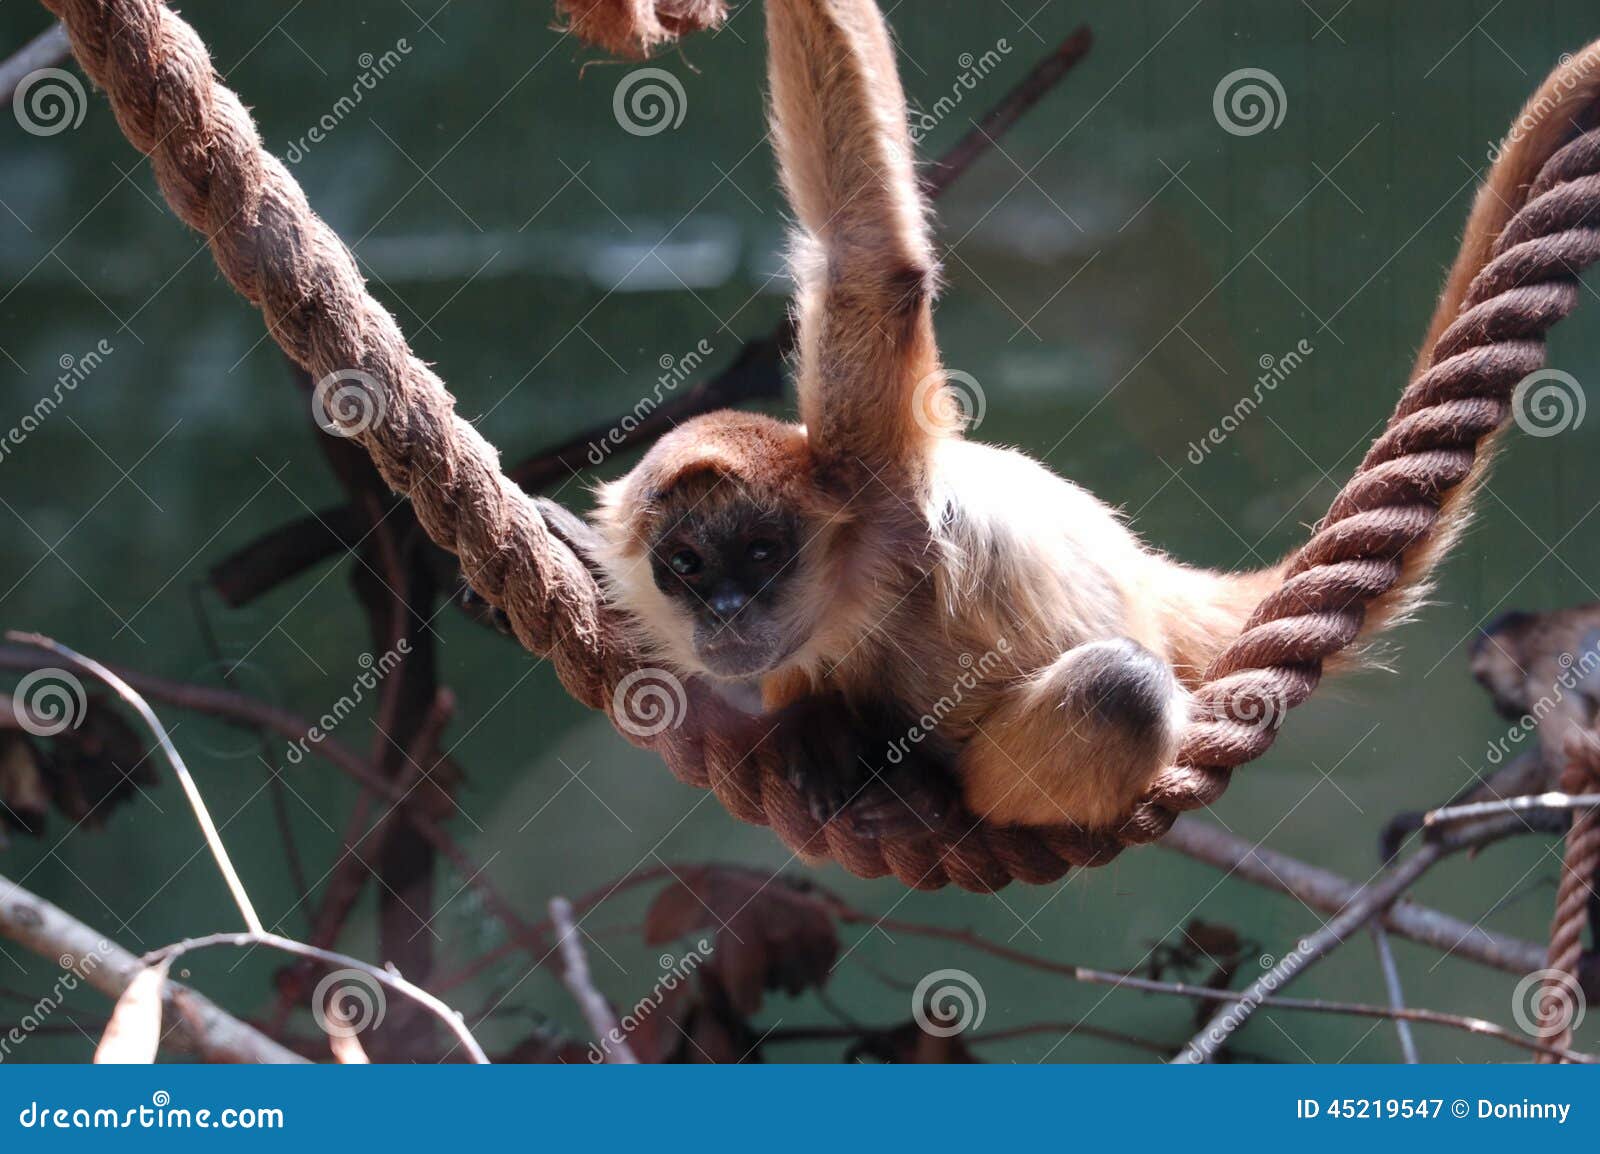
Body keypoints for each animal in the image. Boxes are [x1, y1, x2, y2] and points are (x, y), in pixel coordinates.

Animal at [578, 0, 1600, 835]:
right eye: (685, 565)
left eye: (761, 553)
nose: (726, 609)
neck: (852, 589)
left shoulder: (877, 467)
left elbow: (868, 261)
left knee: (1124, 688)